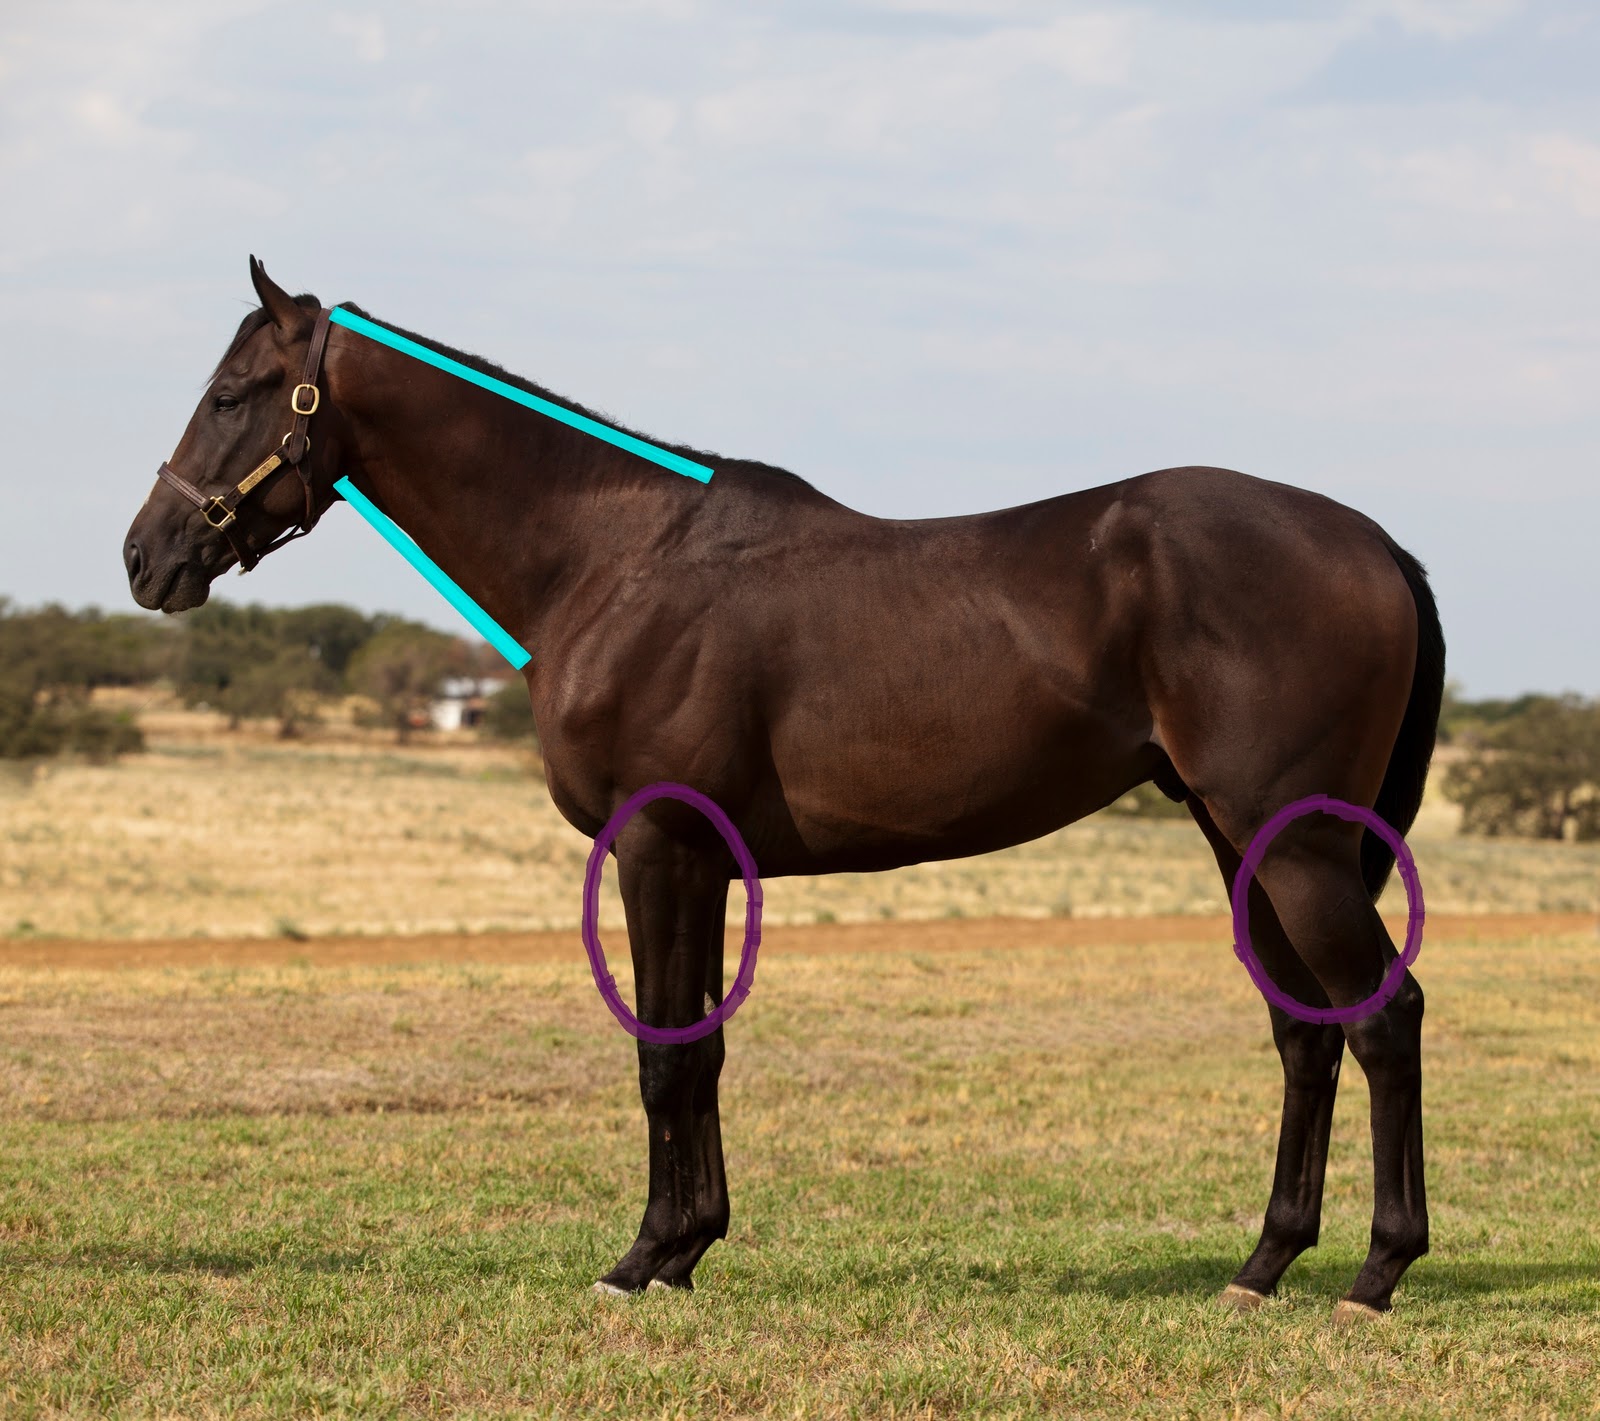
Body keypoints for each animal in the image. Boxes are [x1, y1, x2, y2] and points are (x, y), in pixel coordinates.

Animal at [124, 257, 1444, 1320]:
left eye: (234, 392)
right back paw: (1260, 1268)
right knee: (1303, 1031)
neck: (609, 561)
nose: (145, 556)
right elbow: (700, 1046)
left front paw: (637, 1260)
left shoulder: (657, 844)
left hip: (1299, 846)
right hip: (1240, 838)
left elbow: (661, 1052)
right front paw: (686, 1249)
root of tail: (1373, 542)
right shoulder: (702, 857)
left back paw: (1374, 1274)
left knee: (1382, 1017)